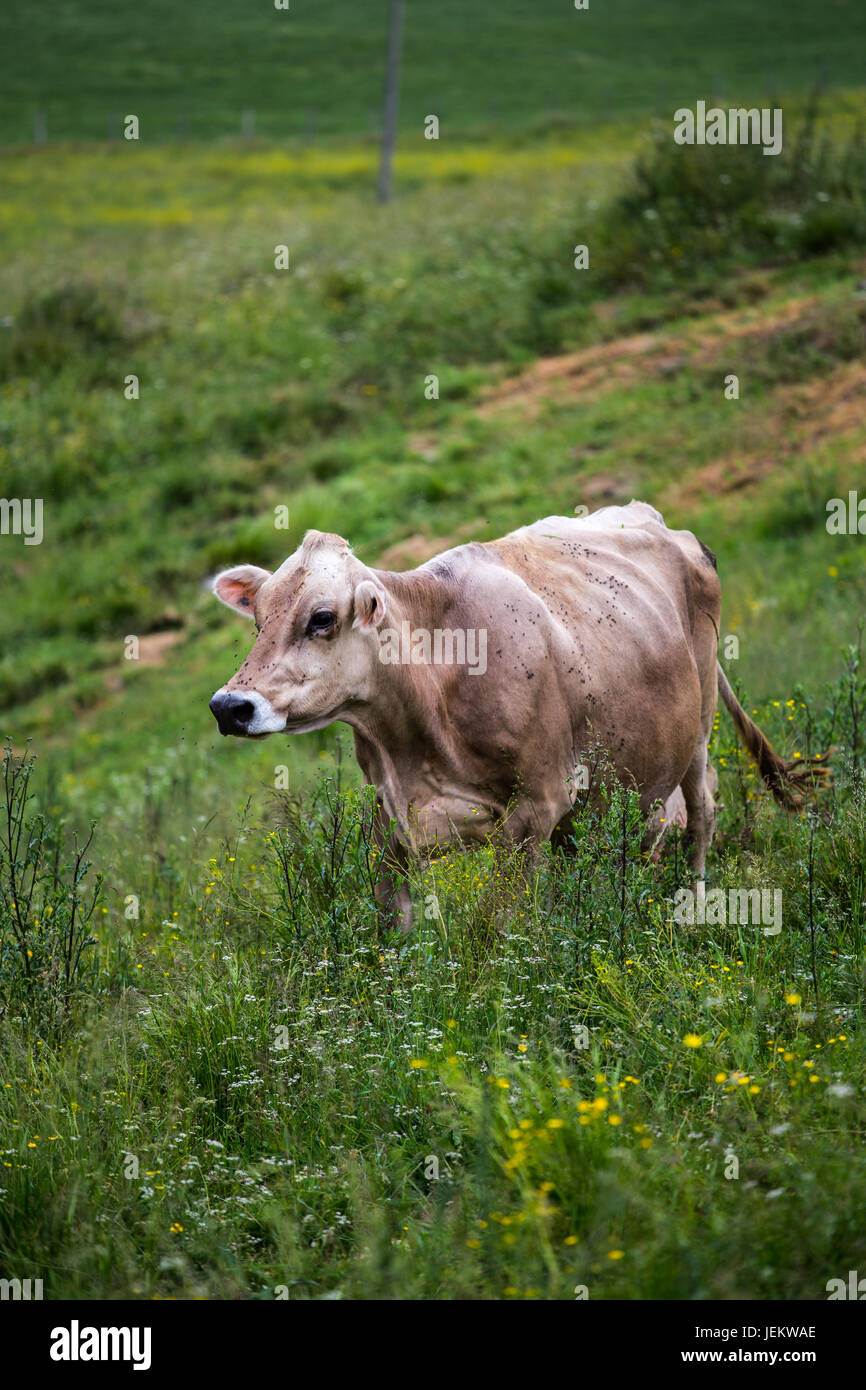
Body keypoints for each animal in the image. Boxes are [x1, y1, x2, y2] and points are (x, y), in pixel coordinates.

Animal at [208, 501, 824, 929]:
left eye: (321, 618)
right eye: (258, 620)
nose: (228, 706)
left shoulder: (536, 806)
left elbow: (495, 923)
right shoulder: (391, 814)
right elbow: (392, 921)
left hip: (695, 731)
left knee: (701, 817)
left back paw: (691, 912)